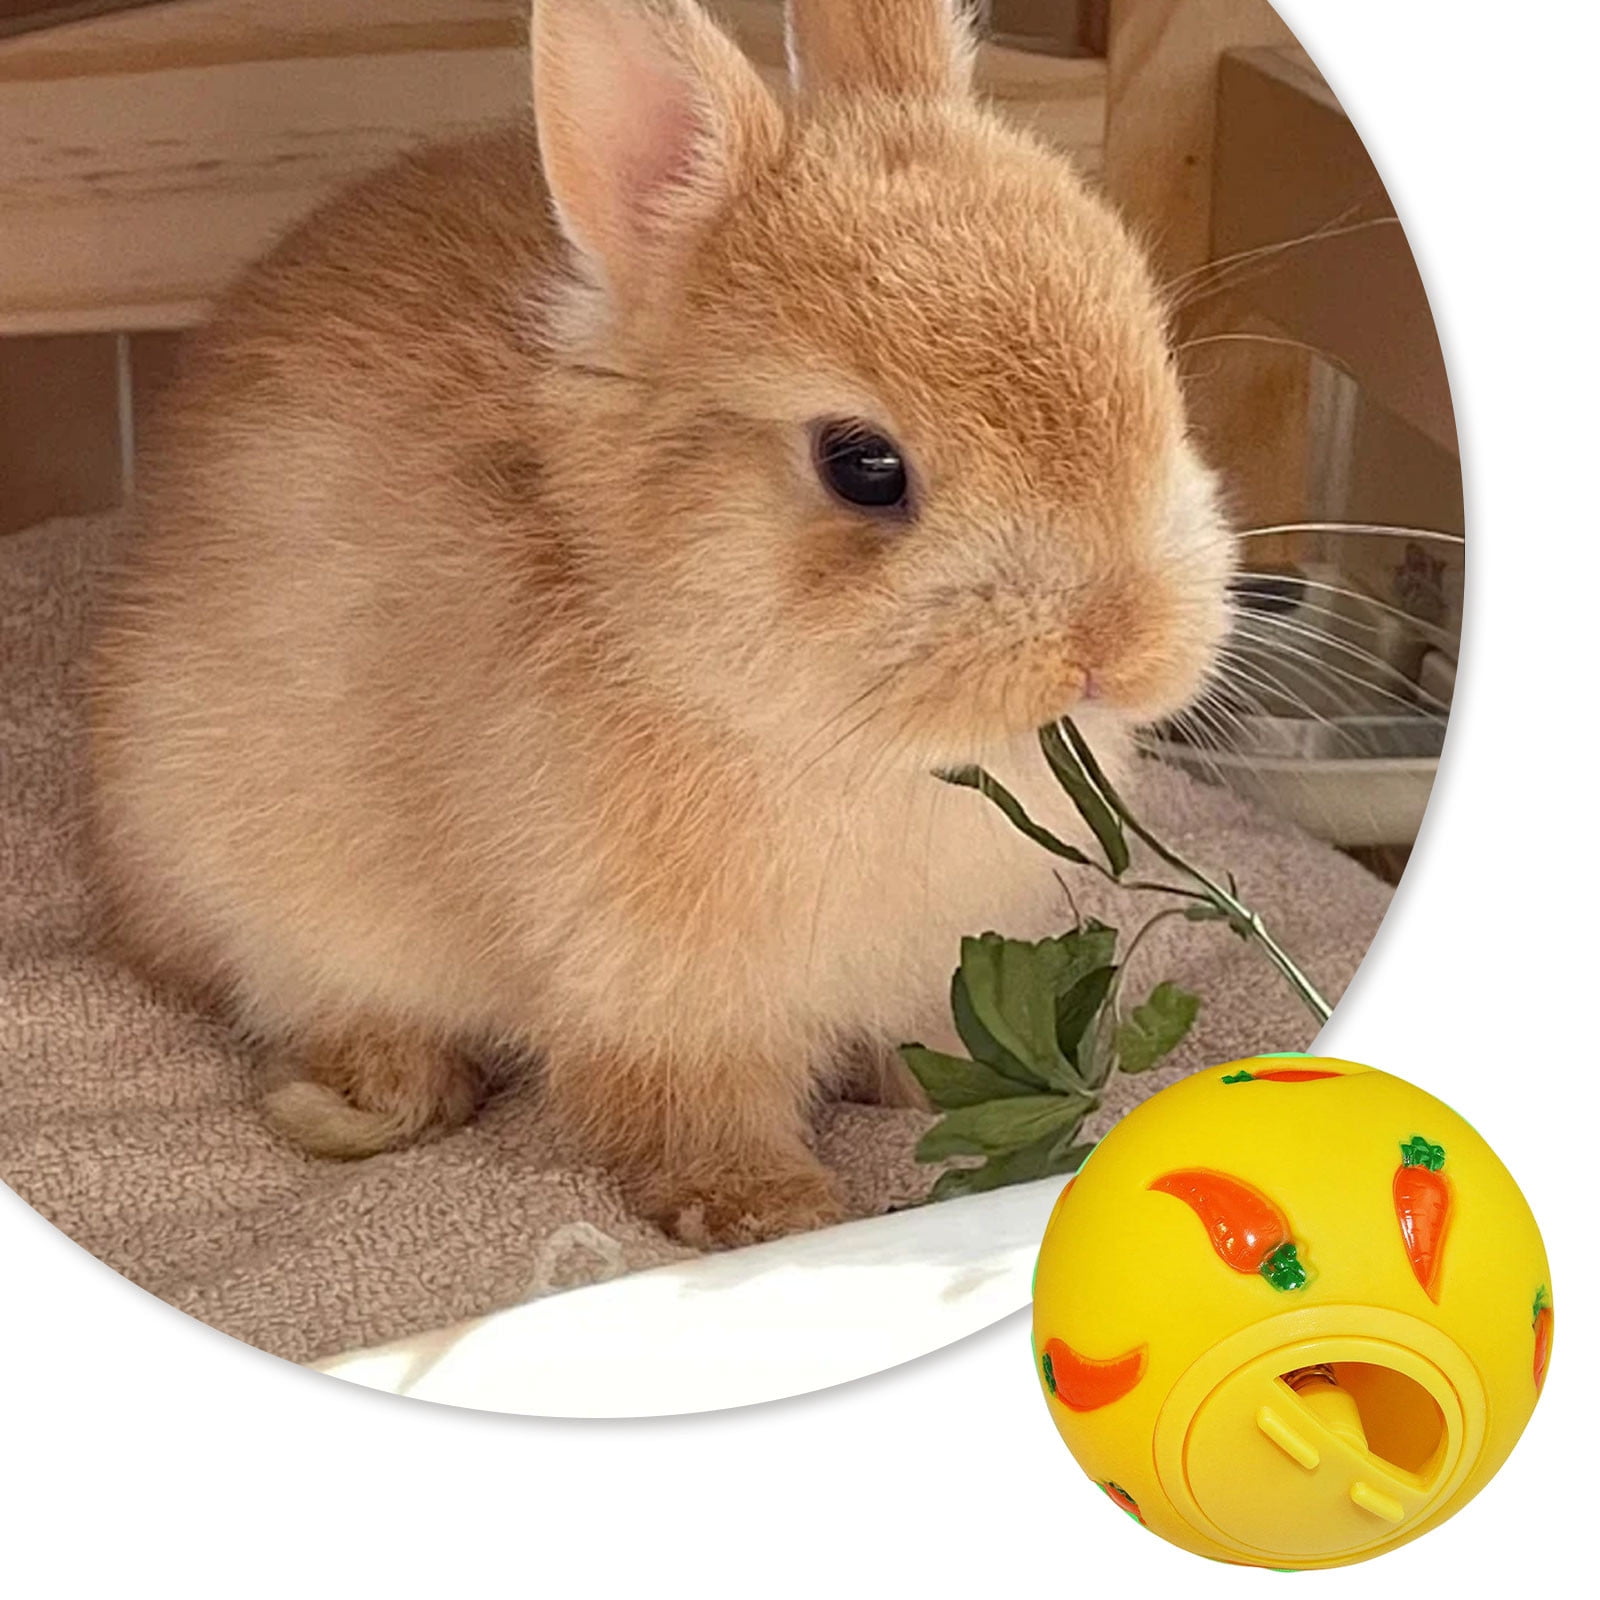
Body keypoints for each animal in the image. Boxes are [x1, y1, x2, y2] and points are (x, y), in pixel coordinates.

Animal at [87, 0, 1234, 1248]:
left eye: (1155, 366)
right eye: (864, 466)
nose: (1116, 645)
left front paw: (941, 1096)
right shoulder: (660, 999)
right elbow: (683, 1111)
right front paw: (768, 1213)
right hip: (258, 887)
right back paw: (357, 1102)